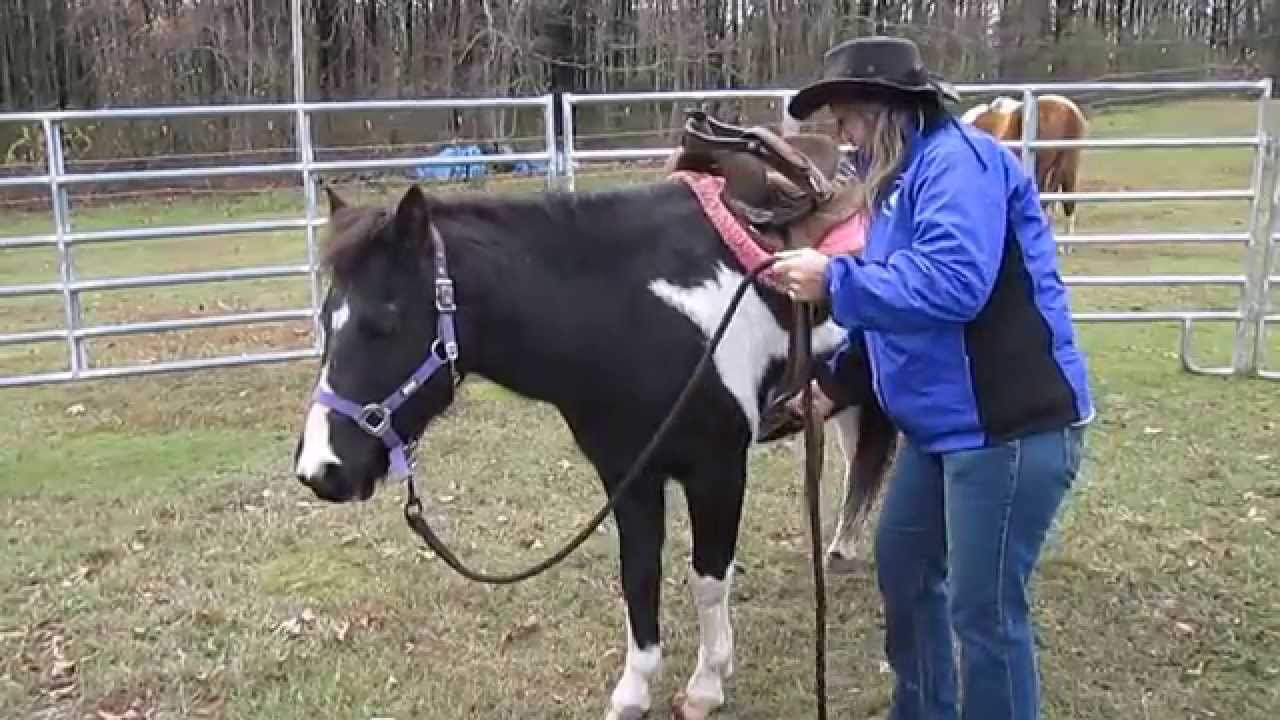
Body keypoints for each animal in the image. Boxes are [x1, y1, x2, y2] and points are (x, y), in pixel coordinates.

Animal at [290, 181, 895, 719]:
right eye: (325, 319)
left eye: (385, 323)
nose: (321, 470)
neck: (632, 312)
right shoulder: (629, 477)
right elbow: (639, 577)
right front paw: (633, 694)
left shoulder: (718, 471)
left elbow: (707, 578)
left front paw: (705, 688)